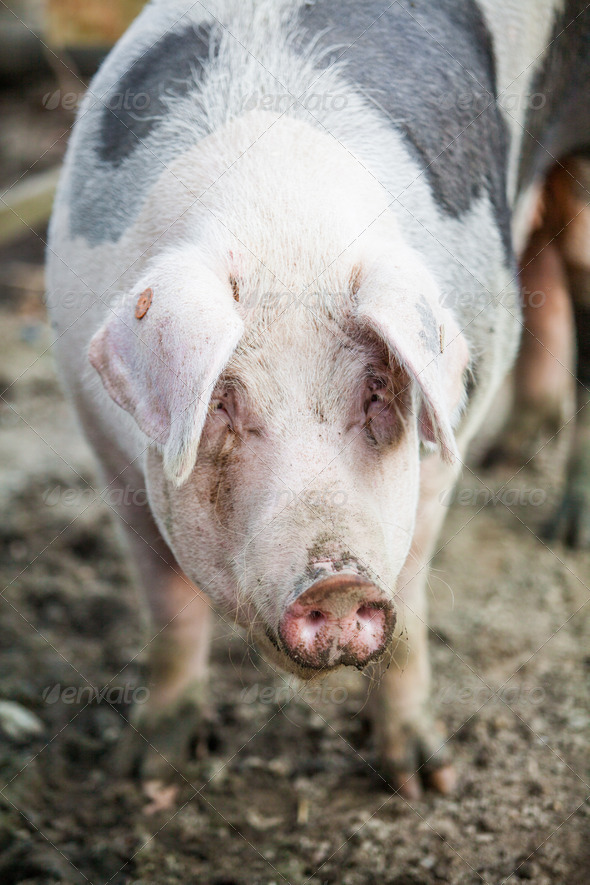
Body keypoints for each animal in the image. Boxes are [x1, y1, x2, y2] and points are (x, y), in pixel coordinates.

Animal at [46, 0, 590, 797]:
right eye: (221, 403)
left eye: (377, 392)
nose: (334, 582)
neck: (283, 222)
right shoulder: (104, 442)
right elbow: (168, 605)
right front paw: (147, 778)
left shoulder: (443, 439)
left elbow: (412, 595)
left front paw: (424, 781)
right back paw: (518, 452)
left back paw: (566, 531)